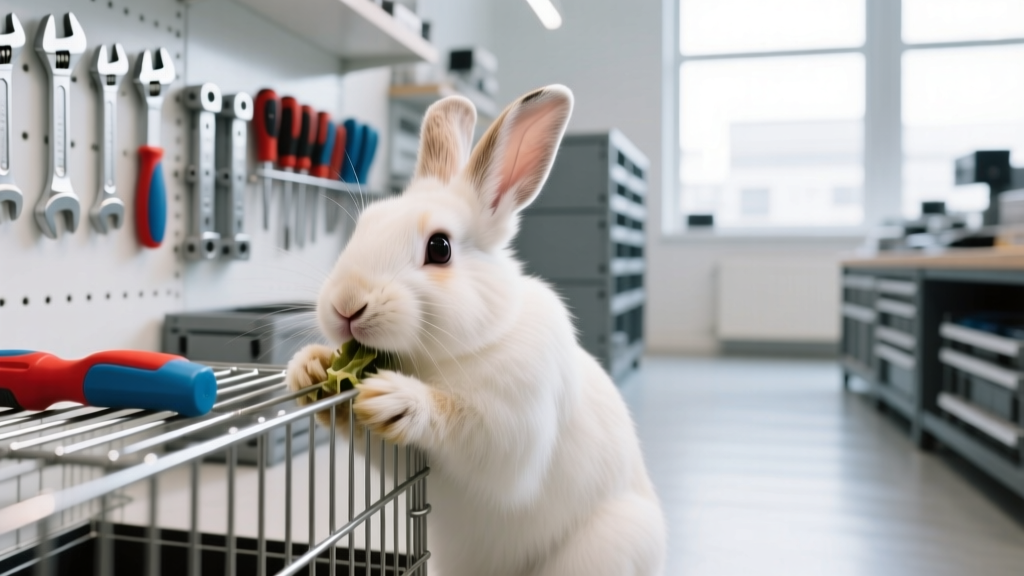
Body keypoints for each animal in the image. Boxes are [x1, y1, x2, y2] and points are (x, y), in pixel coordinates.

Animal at [286, 84, 666, 576]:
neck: (448, 355)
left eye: (440, 247)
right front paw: (309, 369)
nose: (346, 305)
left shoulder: (515, 424)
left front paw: (396, 398)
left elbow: (469, 426)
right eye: (363, 228)